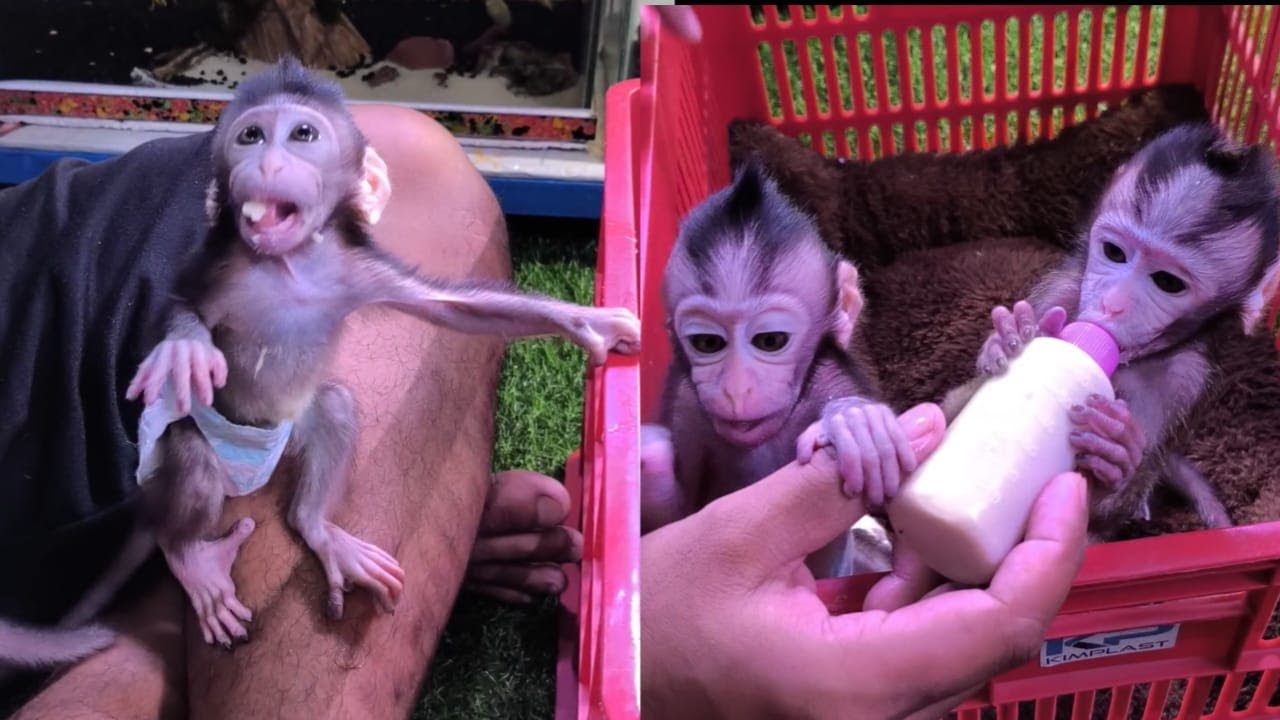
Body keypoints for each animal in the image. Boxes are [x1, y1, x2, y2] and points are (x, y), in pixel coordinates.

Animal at [639, 159, 922, 578]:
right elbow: (668, 525)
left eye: (770, 340)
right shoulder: (685, 403)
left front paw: (855, 422)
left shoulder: (831, 378)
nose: (736, 388)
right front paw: (645, 453)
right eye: (707, 343)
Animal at [942, 122, 1280, 539]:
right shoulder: (1063, 291)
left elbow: (1106, 512)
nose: (1111, 303)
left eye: (1168, 282)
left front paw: (1113, 452)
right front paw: (1005, 339)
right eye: (1114, 253)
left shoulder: (1184, 380)